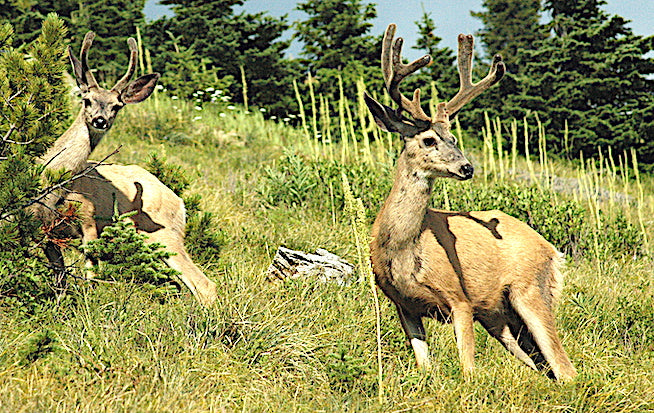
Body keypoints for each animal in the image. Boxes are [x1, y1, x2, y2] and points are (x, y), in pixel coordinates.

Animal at [34, 32, 217, 306]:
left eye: (117, 106)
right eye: (86, 99)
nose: (100, 120)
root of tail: (181, 203)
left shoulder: (89, 221)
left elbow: (89, 275)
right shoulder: (43, 231)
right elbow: (61, 280)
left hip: (167, 235)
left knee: (204, 284)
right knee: (180, 283)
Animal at [364, 24, 577, 381]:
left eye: (454, 139)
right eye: (429, 140)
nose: (467, 167)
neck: (405, 249)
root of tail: (552, 250)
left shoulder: (460, 299)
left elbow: (468, 368)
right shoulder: (403, 304)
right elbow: (424, 366)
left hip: (532, 290)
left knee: (565, 366)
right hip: (500, 317)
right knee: (544, 365)